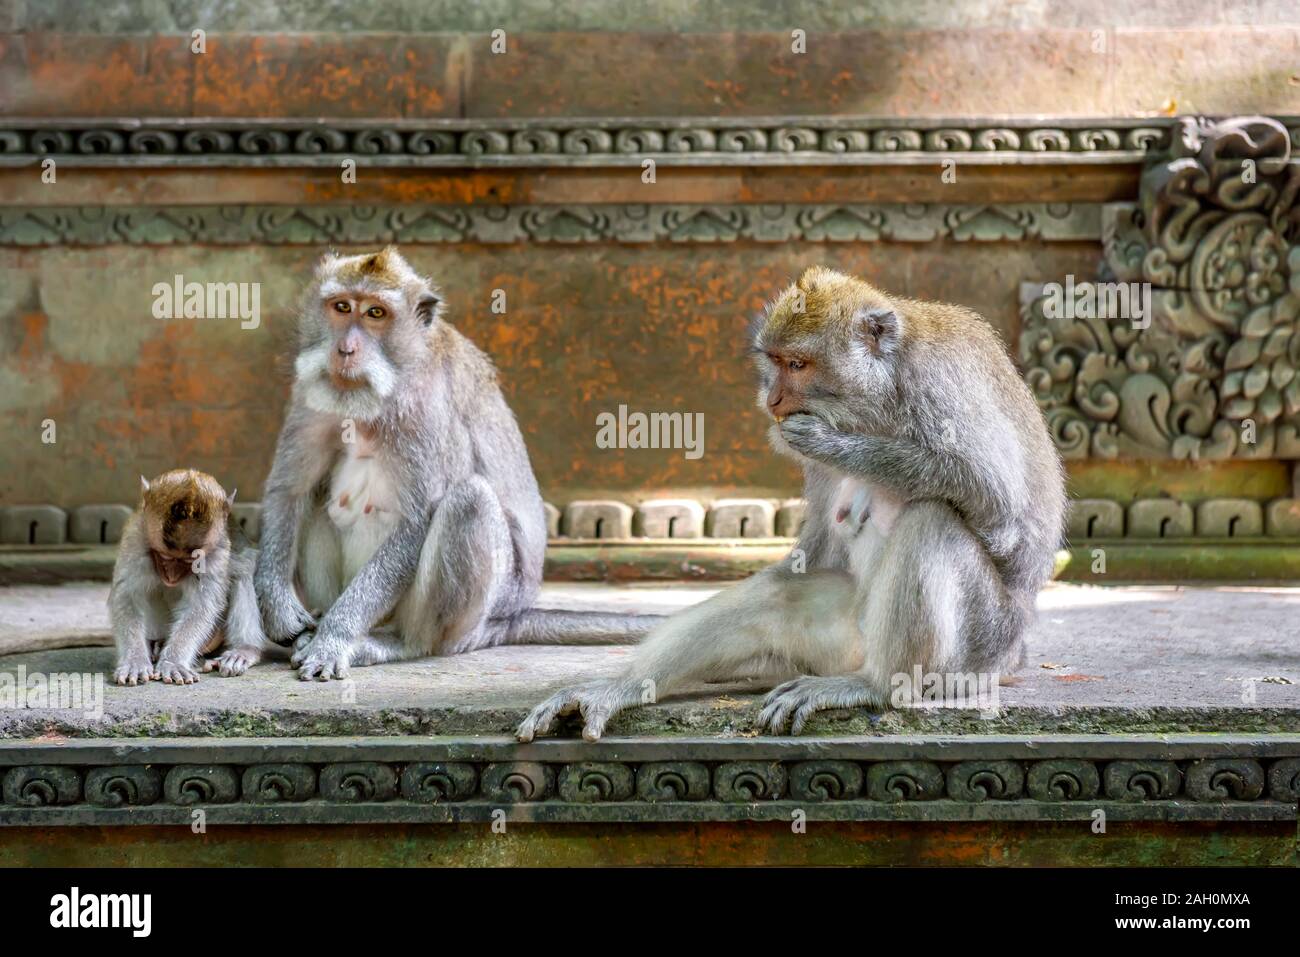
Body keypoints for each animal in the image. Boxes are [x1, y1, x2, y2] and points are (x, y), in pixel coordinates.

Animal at [110, 469, 274, 685]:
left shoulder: (217, 549)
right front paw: (135, 661)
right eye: (165, 556)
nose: (171, 577)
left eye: (191, 560)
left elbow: (201, 604)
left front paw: (173, 662)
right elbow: (128, 596)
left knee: (243, 568)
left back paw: (243, 650)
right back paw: (156, 643)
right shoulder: (135, 536)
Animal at [254, 245, 660, 680]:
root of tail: (504, 620)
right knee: (315, 498)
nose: (345, 350)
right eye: (342, 307)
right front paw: (279, 610)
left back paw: (396, 643)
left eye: (376, 313)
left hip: (473, 615)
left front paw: (335, 639)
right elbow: (288, 491)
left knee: (470, 500)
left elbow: (416, 521)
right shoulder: (312, 397)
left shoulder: (425, 411)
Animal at [517, 266, 1066, 740]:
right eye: (774, 362)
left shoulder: (939, 386)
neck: (881, 401)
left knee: (932, 517)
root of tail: (1016, 655)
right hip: (847, 631)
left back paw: (876, 685)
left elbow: (995, 501)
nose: (772, 400)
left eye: (798, 365)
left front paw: (829, 442)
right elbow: (815, 549)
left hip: (982, 651)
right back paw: (628, 686)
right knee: (776, 594)